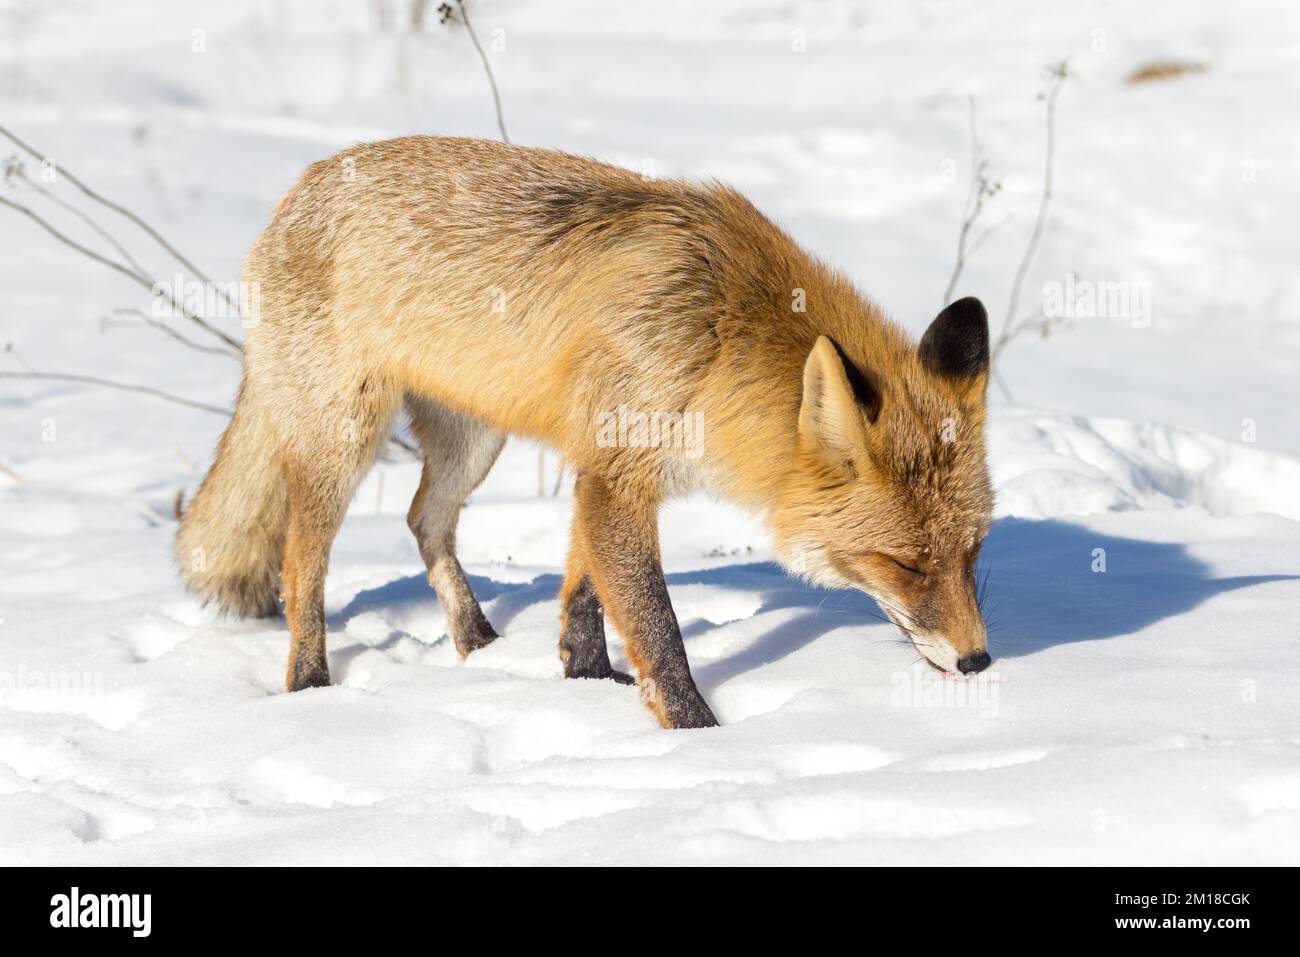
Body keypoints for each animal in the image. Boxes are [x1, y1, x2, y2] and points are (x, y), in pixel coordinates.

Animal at [176, 135, 994, 729]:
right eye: (903, 563)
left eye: (972, 552)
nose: (979, 663)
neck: (720, 332)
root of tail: (301, 186)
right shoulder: (619, 470)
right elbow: (658, 630)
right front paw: (699, 738)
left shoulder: (605, 466)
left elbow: (583, 593)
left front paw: (584, 681)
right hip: (342, 443)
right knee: (301, 569)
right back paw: (310, 688)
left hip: (473, 445)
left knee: (423, 521)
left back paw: (479, 647)